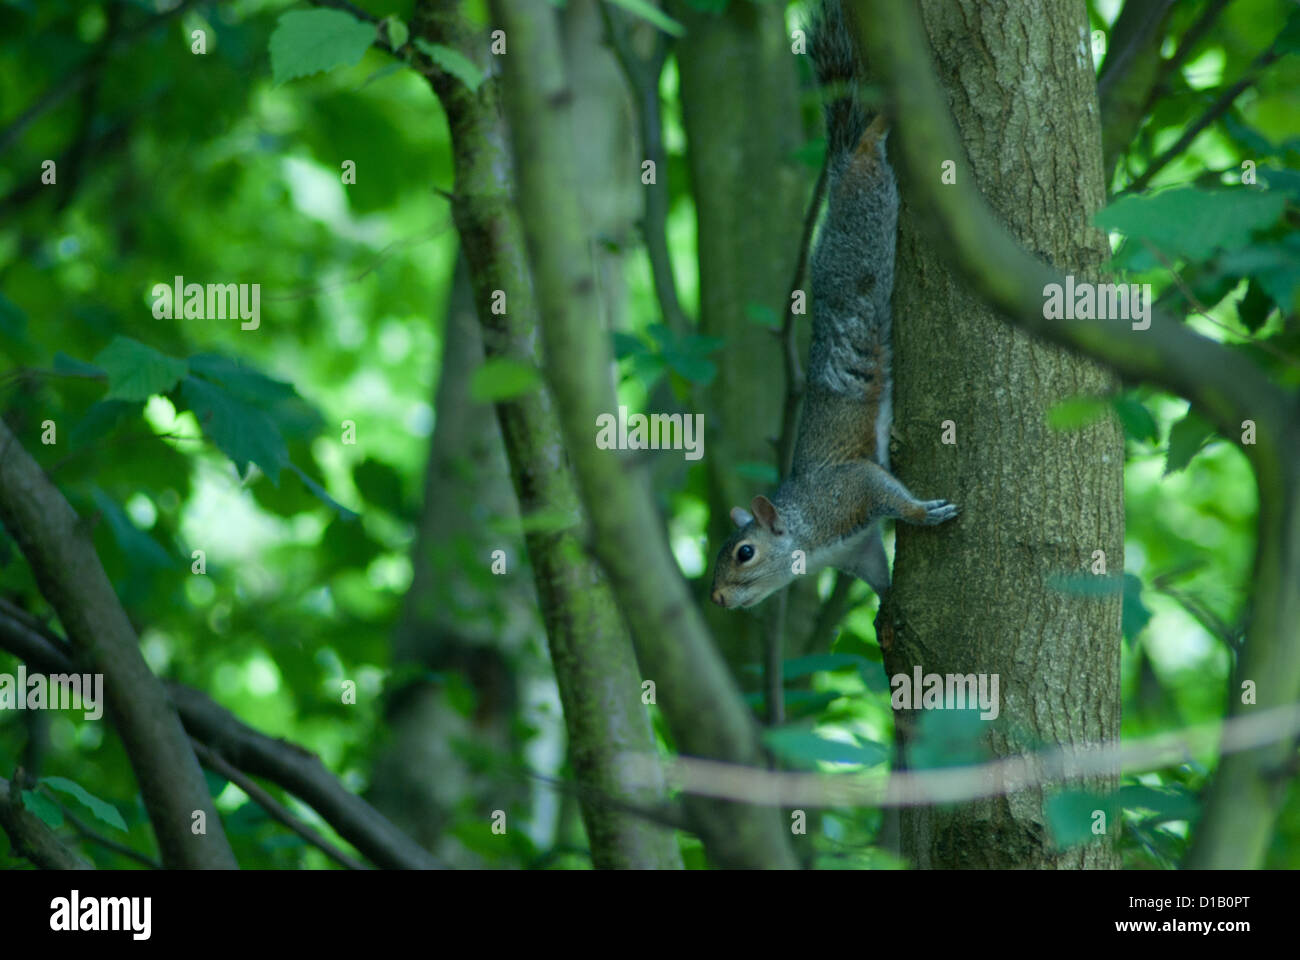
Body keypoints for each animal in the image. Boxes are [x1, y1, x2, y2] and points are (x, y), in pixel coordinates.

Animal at [709, 0, 957, 610]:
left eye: (744, 553)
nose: (718, 599)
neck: (806, 538)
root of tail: (840, 169)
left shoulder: (848, 489)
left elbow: (886, 491)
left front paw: (923, 512)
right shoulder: (856, 550)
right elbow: (876, 575)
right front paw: (886, 612)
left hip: (867, 211)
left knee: (869, 151)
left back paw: (881, 125)